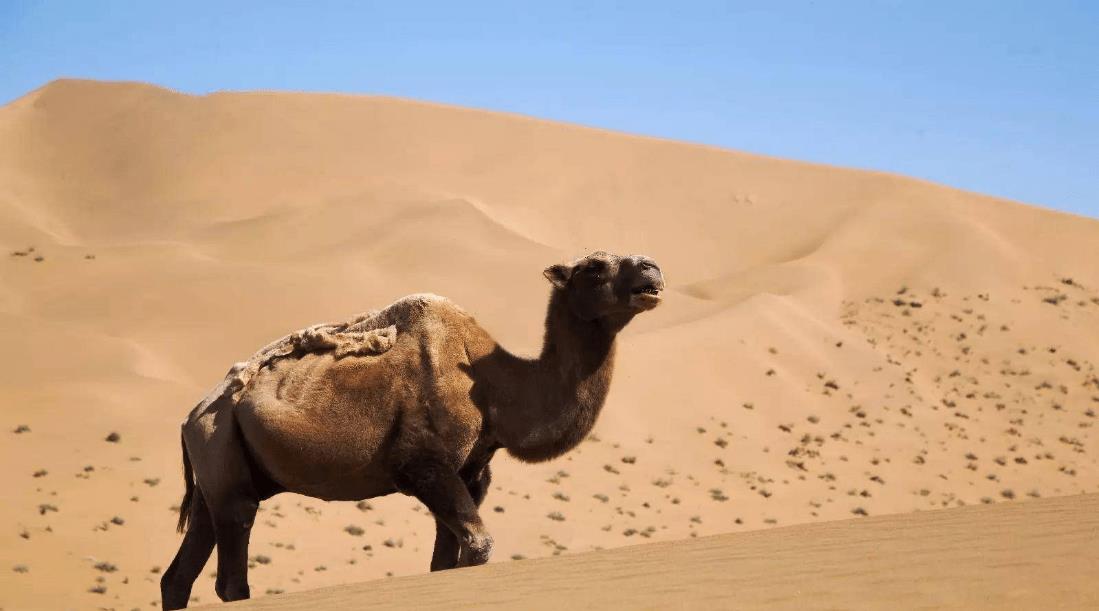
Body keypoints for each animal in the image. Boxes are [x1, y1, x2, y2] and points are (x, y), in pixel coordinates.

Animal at [160, 251, 665, 609]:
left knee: (179, 574)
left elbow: (446, 563)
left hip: (215, 473)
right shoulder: (422, 466)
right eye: (595, 267)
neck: (494, 386)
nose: (652, 268)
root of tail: (190, 417)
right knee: (232, 575)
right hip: (223, 458)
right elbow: (478, 545)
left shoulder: (471, 475)